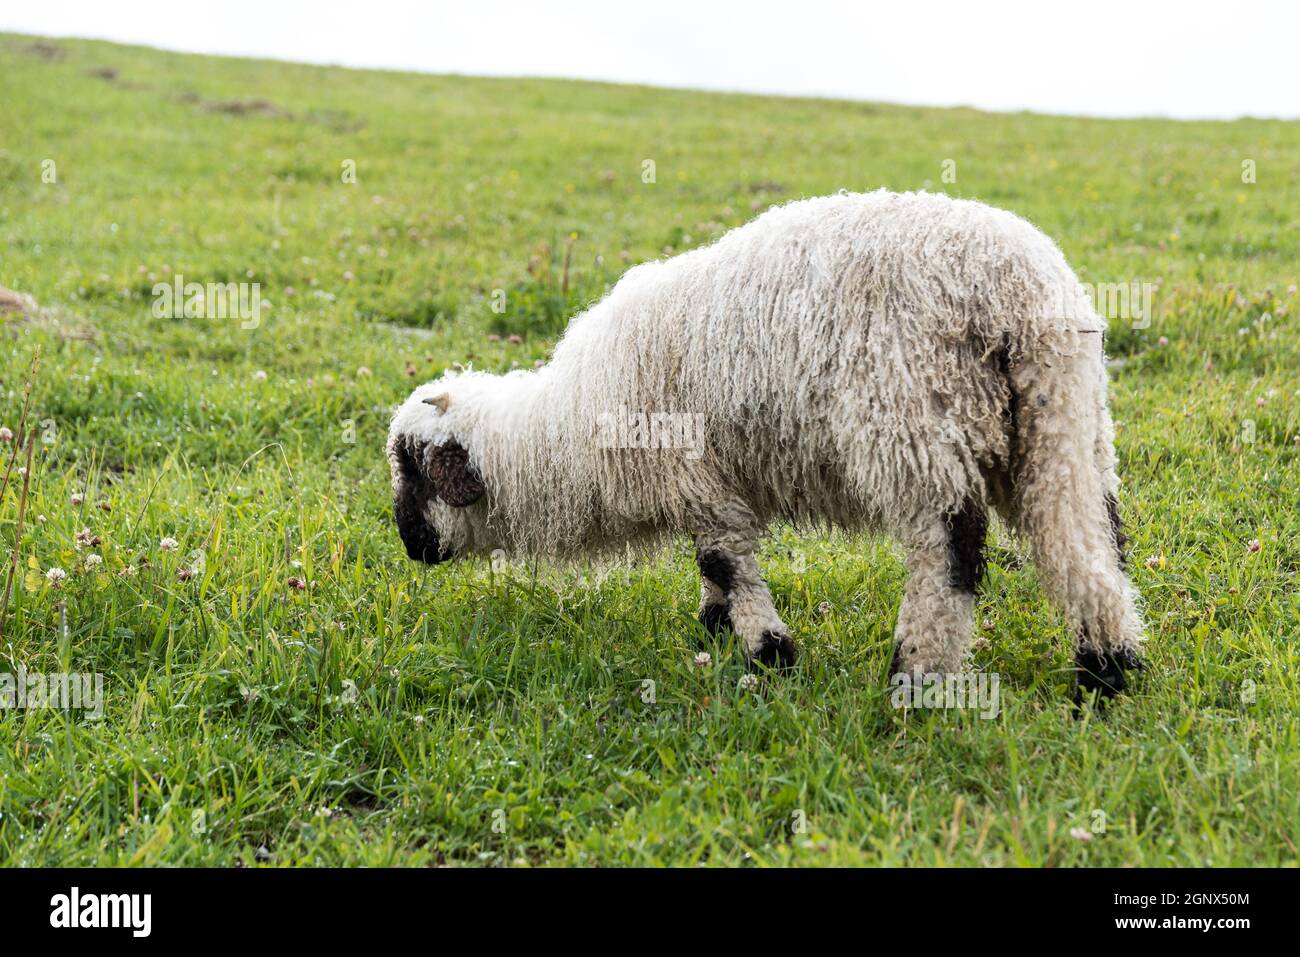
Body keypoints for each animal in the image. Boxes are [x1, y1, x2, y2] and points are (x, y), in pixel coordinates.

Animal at [387, 189, 1145, 701]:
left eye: (413, 469)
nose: (410, 547)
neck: (559, 432)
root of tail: (1015, 287)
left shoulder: (690, 472)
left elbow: (724, 561)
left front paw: (768, 650)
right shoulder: (705, 482)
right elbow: (710, 559)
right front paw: (714, 626)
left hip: (913, 420)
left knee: (949, 555)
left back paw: (915, 677)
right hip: (1064, 421)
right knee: (1086, 539)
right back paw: (1108, 670)